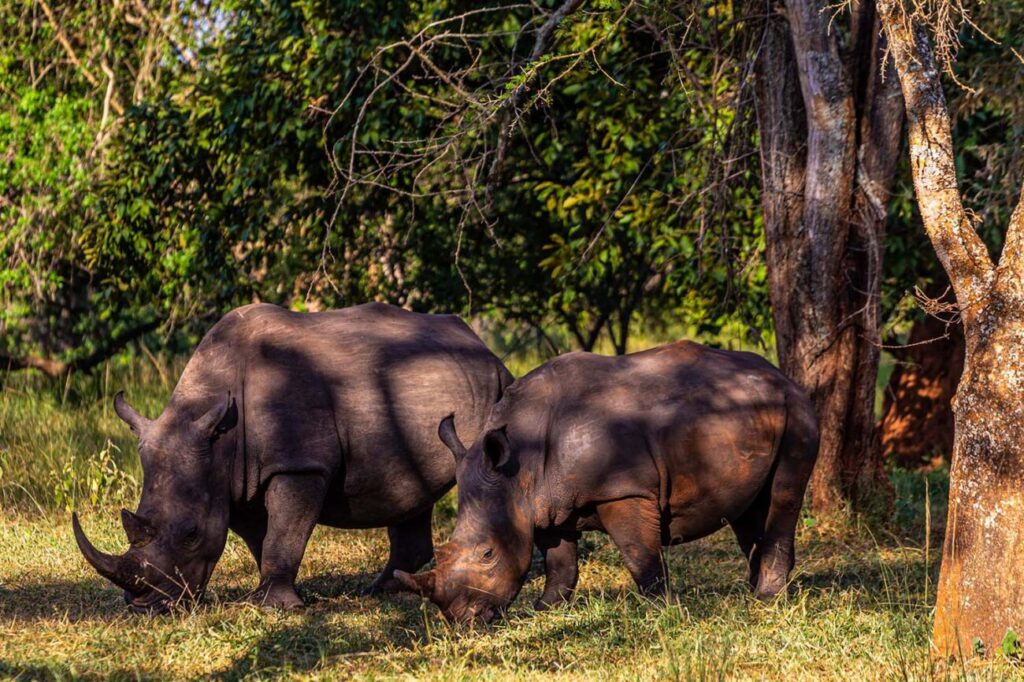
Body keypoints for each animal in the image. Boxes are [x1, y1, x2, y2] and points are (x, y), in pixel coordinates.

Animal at [72, 302, 512, 613]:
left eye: (191, 534)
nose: (146, 607)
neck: (220, 436)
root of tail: (485, 348)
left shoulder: (298, 465)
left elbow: (284, 532)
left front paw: (273, 607)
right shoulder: (234, 478)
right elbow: (262, 536)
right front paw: (264, 596)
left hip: (493, 389)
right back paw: (379, 591)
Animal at [394, 341, 819, 623]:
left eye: (487, 554)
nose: (462, 621)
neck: (519, 465)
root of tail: (784, 378)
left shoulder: (622, 490)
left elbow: (639, 555)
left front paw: (664, 611)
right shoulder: (545, 503)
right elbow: (560, 563)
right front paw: (544, 611)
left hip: (796, 411)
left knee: (782, 497)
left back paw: (766, 599)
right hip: (751, 415)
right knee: (748, 511)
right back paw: (755, 593)